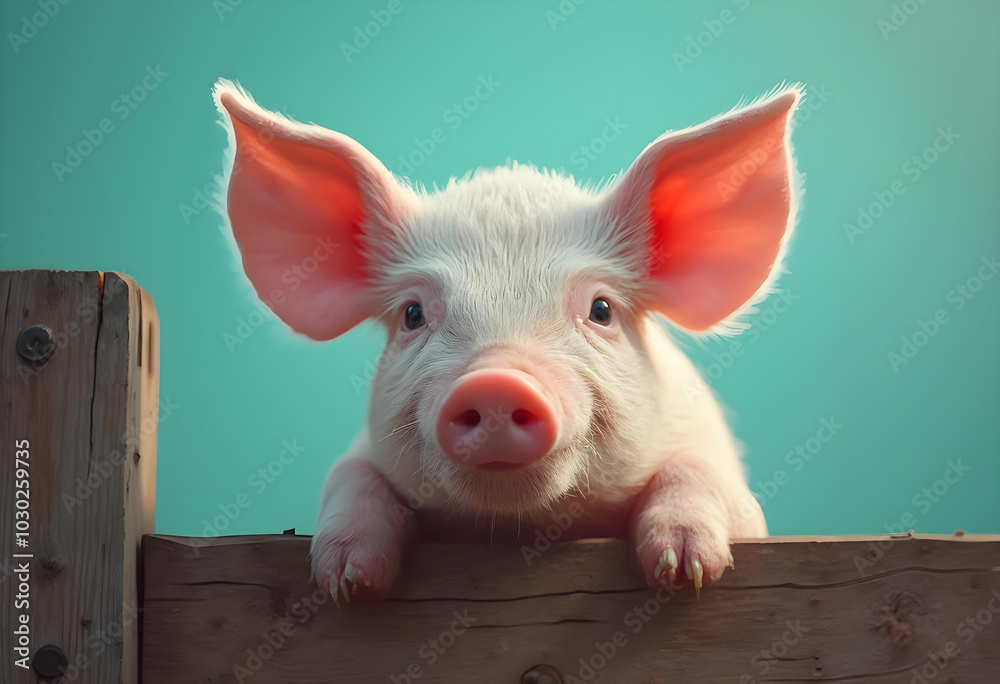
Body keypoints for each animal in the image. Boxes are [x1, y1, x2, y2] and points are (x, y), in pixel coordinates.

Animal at [212, 79, 802, 604]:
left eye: (602, 310)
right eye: (412, 315)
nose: (496, 382)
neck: (522, 528)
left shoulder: (734, 489)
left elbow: (696, 471)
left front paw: (683, 572)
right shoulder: (363, 454)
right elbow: (350, 475)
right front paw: (346, 582)